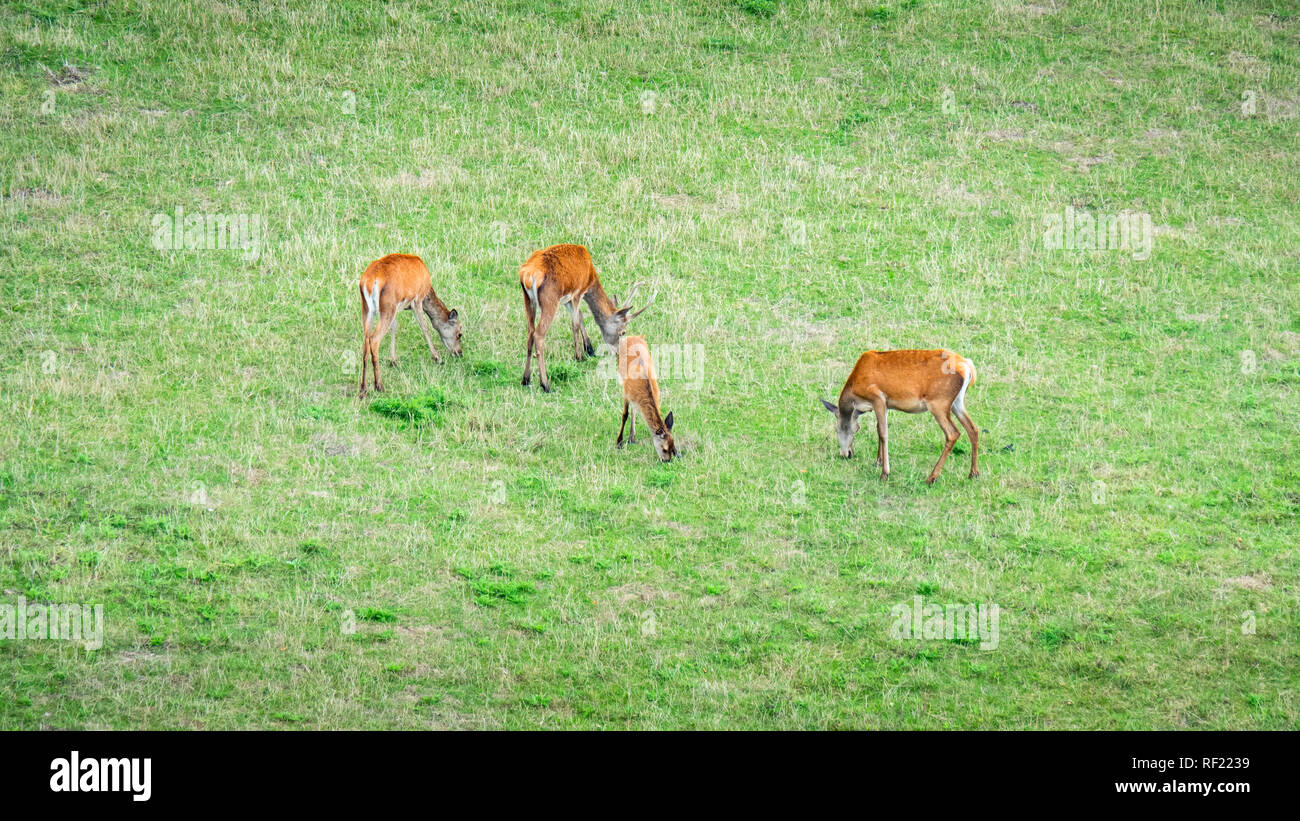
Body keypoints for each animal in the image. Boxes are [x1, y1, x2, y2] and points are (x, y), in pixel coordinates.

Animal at [358, 253, 463, 398]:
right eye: (459, 334)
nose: (459, 353)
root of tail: (369, 281)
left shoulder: (398, 307)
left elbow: (394, 327)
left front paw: (393, 360)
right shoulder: (417, 299)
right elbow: (425, 327)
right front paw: (437, 358)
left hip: (367, 308)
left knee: (365, 341)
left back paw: (363, 389)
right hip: (387, 306)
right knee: (374, 339)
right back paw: (379, 386)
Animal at [519, 244, 652, 393]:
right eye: (623, 332)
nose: (618, 353)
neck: (591, 275)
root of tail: (528, 275)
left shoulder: (567, 299)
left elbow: (580, 316)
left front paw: (589, 349)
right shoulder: (578, 291)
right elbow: (575, 323)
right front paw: (579, 357)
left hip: (528, 300)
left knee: (530, 332)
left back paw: (526, 379)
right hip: (550, 300)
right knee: (539, 334)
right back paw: (545, 385)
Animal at [820, 349, 978, 484]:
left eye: (837, 429)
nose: (846, 454)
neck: (855, 388)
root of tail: (967, 367)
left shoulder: (877, 397)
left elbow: (883, 432)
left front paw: (885, 473)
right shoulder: (886, 404)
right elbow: (878, 428)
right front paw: (878, 461)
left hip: (938, 403)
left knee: (953, 433)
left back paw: (931, 477)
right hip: (957, 402)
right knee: (973, 428)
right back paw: (973, 473)